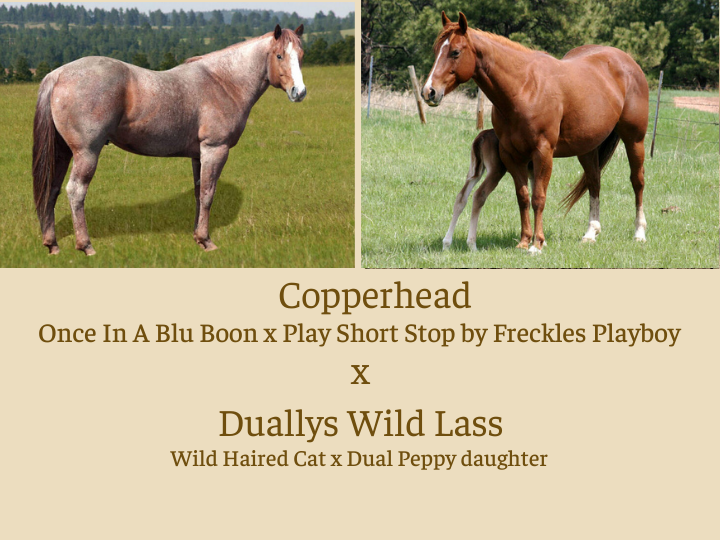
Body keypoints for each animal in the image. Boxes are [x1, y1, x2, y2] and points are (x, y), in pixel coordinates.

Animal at [32, 24, 306, 256]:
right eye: (279, 56)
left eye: (301, 55)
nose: (299, 92)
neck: (223, 82)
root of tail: (58, 74)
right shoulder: (215, 150)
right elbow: (208, 194)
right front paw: (207, 241)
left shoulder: (198, 155)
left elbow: (198, 193)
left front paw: (197, 237)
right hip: (86, 153)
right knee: (76, 191)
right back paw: (85, 245)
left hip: (62, 152)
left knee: (53, 190)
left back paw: (52, 244)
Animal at [423, 12, 649, 254]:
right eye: (436, 50)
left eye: (455, 52)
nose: (429, 92)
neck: (525, 87)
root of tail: (627, 61)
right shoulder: (512, 155)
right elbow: (523, 197)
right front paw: (524, 240)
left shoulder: (543, 152)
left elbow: (539, 197)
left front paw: (536, 244)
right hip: (587, 148)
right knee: (594, 181)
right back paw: (590, 233)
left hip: (635, 140)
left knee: (637, 181)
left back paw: (639, 233)